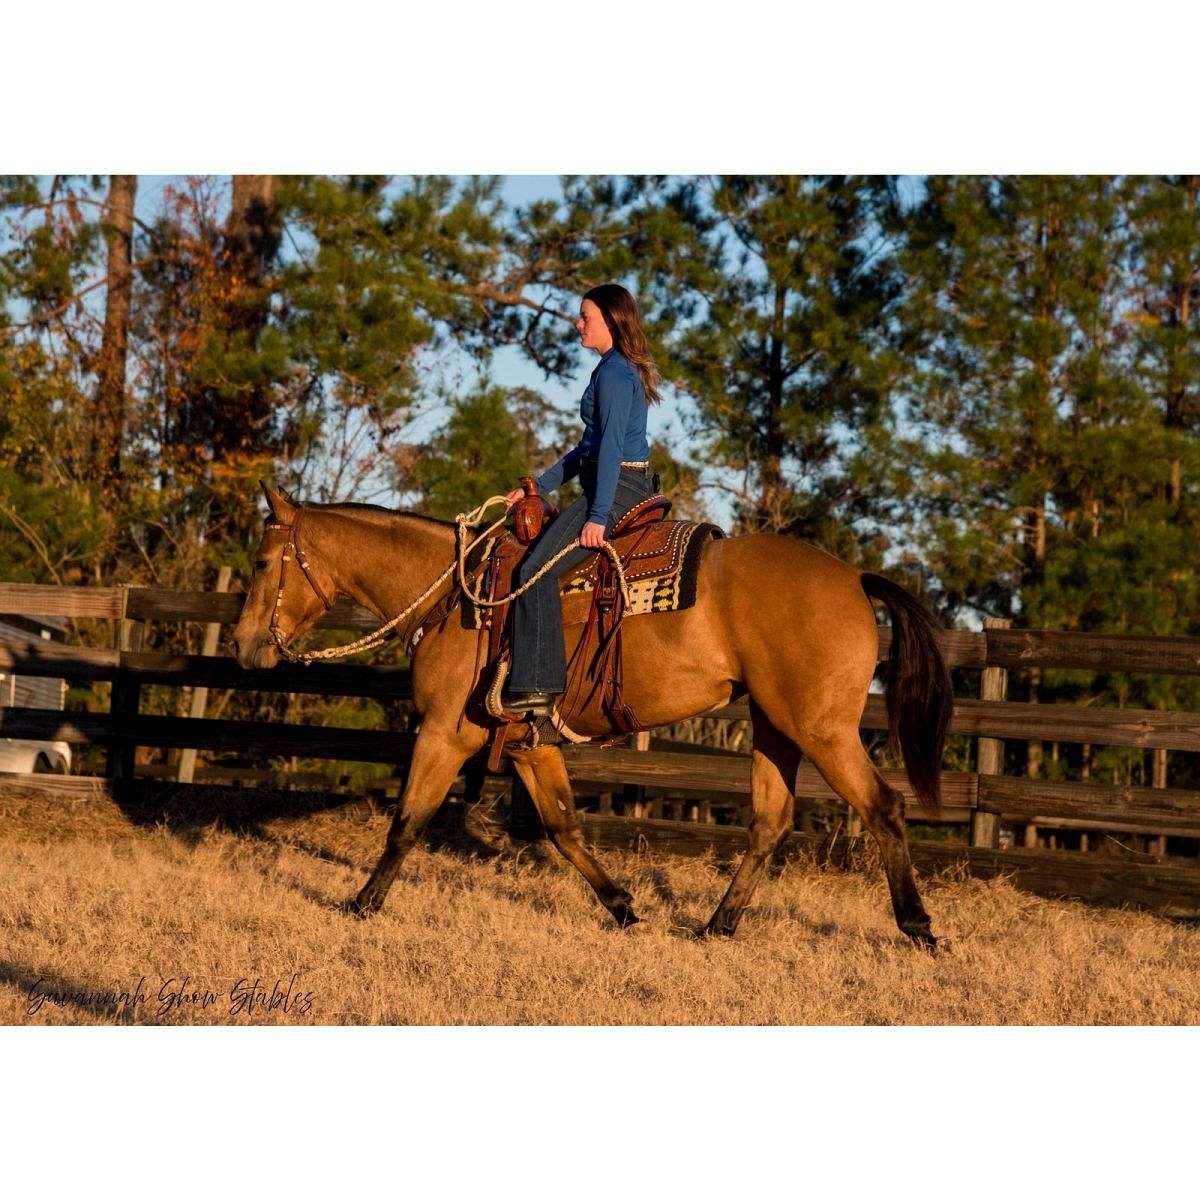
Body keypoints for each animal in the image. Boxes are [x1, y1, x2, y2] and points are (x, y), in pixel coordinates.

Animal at [231, 485, 953, 948]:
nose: (242, 645)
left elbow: (406, 823)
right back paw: (716, 927)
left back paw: (918, 927)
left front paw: (360, 903)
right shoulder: (529, 744)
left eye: (263, 562)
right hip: (777, 727)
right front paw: (624, 908)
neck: (457, 596)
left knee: (882, 806)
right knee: (771, 824)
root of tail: (856, 577)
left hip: (822, 730)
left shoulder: (444, 735)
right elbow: (563, 826)